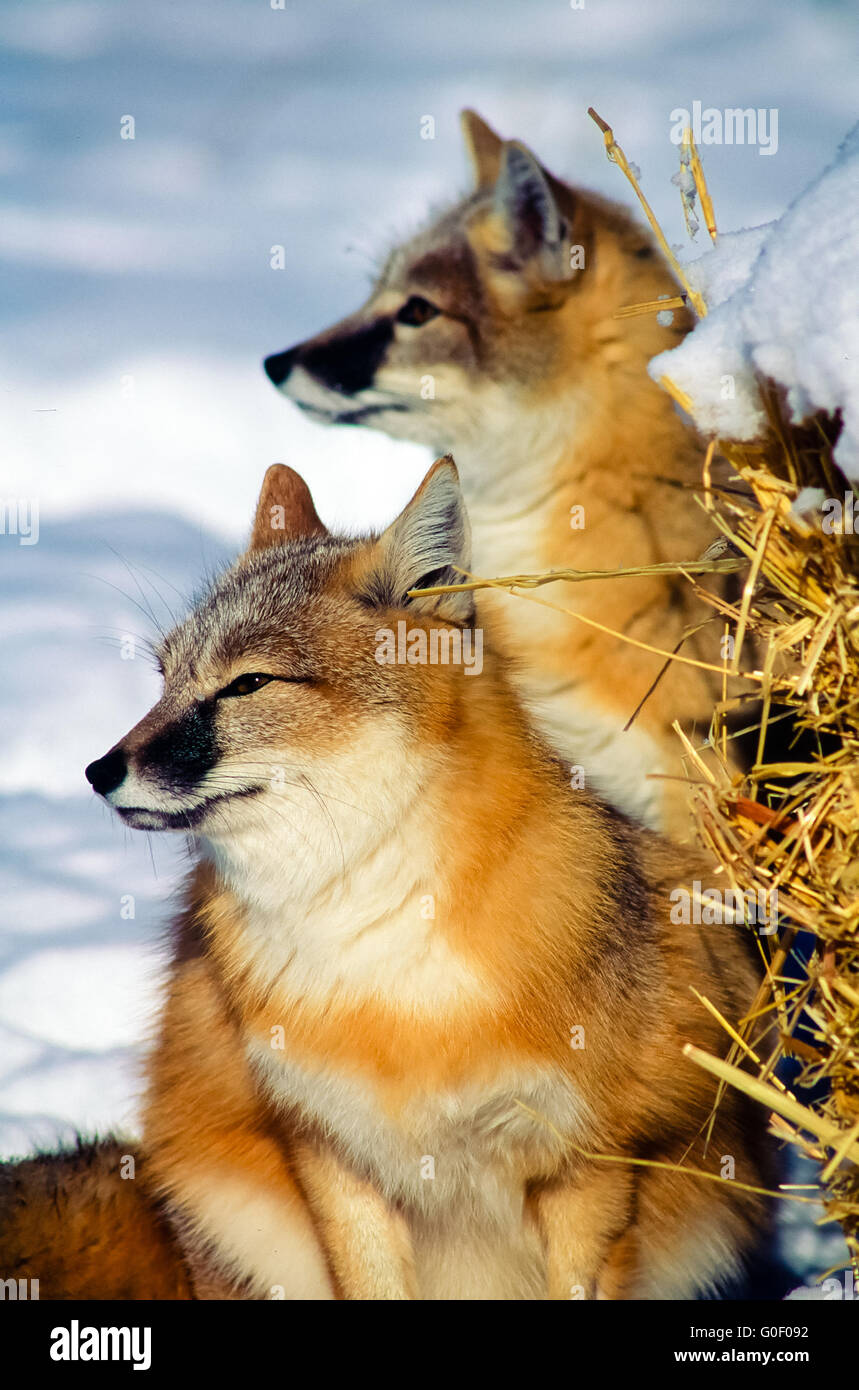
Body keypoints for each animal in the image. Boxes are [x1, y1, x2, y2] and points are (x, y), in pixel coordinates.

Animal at [25, 458, 768, 1302]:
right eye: (164, 677)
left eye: (247, 685)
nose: (97, 771)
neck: (380, 952)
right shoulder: (333, 1155)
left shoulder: (586, 1169)